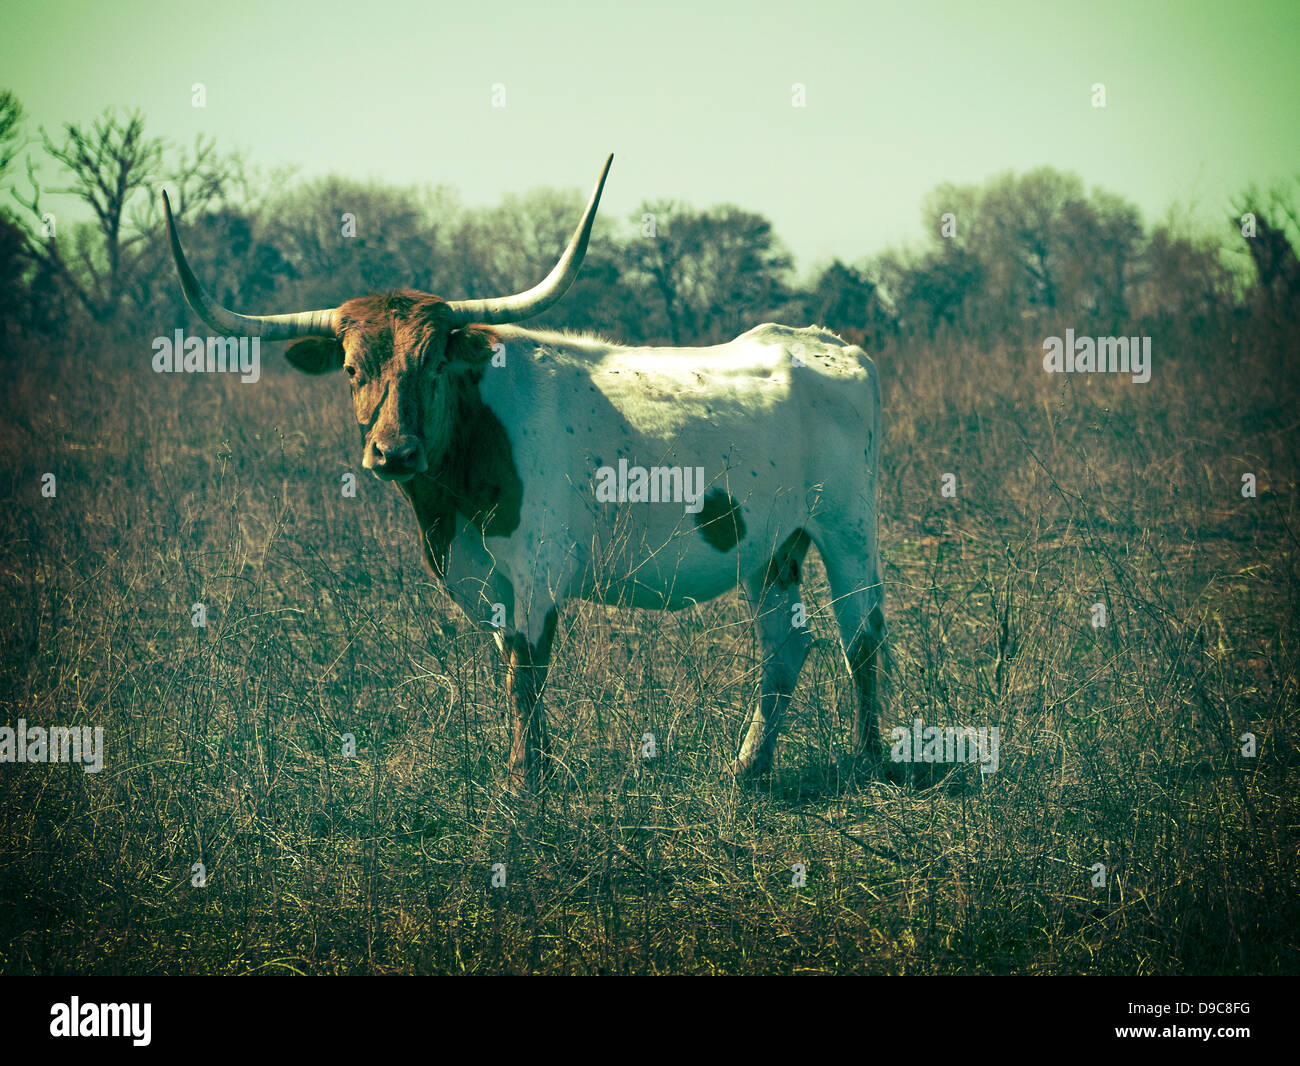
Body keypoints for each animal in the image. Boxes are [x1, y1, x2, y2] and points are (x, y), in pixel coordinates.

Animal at [162, 156, 887, 791]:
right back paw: (749, 769)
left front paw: (524, 780)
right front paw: (526, 772)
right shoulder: (484, 578)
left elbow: (526, 672)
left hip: (847, 527)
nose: (393, 454)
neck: (452, 502)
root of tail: (824, 343)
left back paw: (871, 760)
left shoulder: (540, 570)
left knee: (863, 631)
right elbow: (512, 665)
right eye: (350, 368)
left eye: (435, 362)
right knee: (785, 644)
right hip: (770, 546)